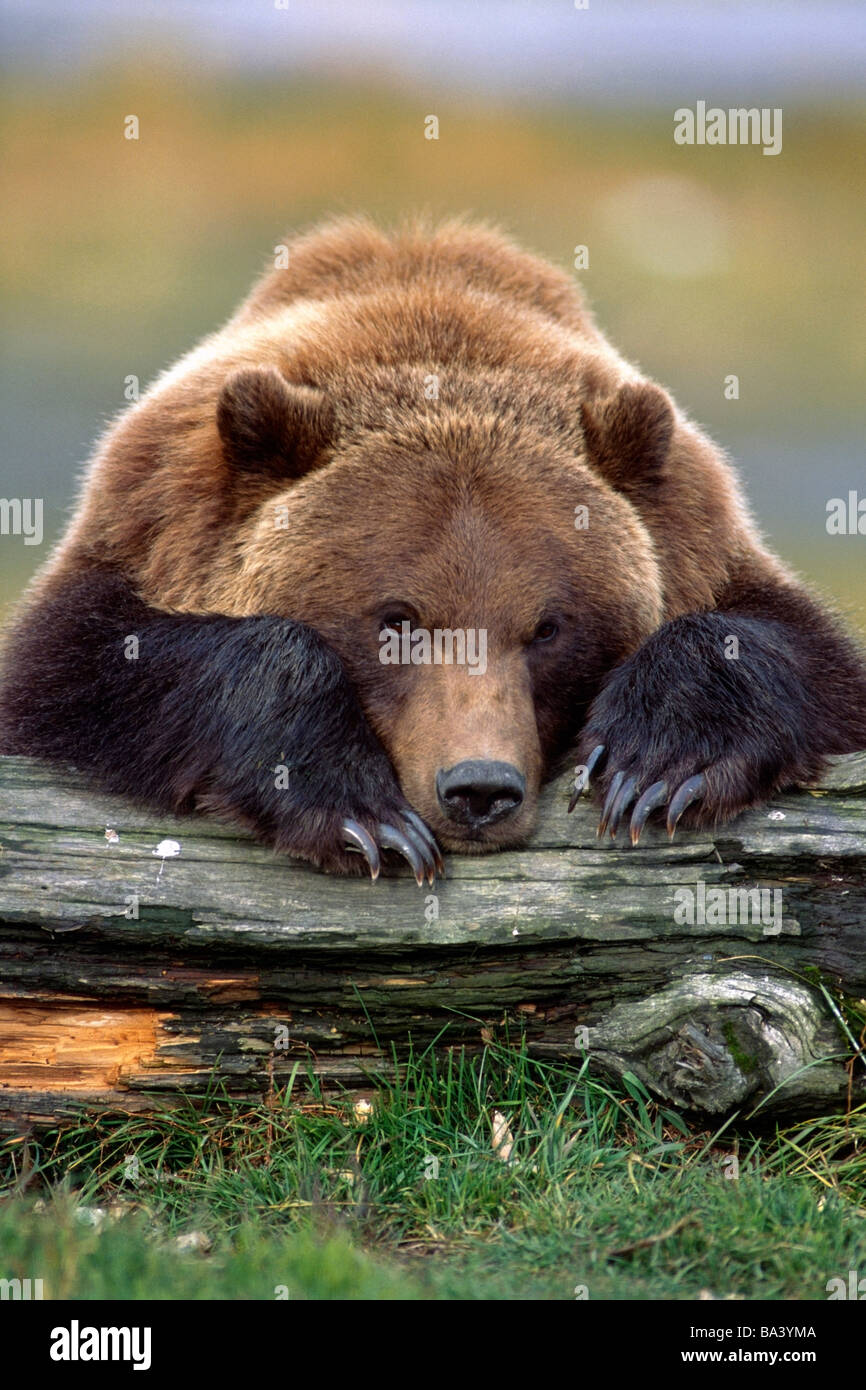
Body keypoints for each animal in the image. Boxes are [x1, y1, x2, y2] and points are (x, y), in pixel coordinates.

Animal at [1, 215, 865, 883]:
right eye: (397, 619)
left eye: (549, 626)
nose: (479, 788)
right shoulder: (142, 534)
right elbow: (84, 669)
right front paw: (358, 811)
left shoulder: (699, 539)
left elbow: (798, 657)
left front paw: (657, 766)